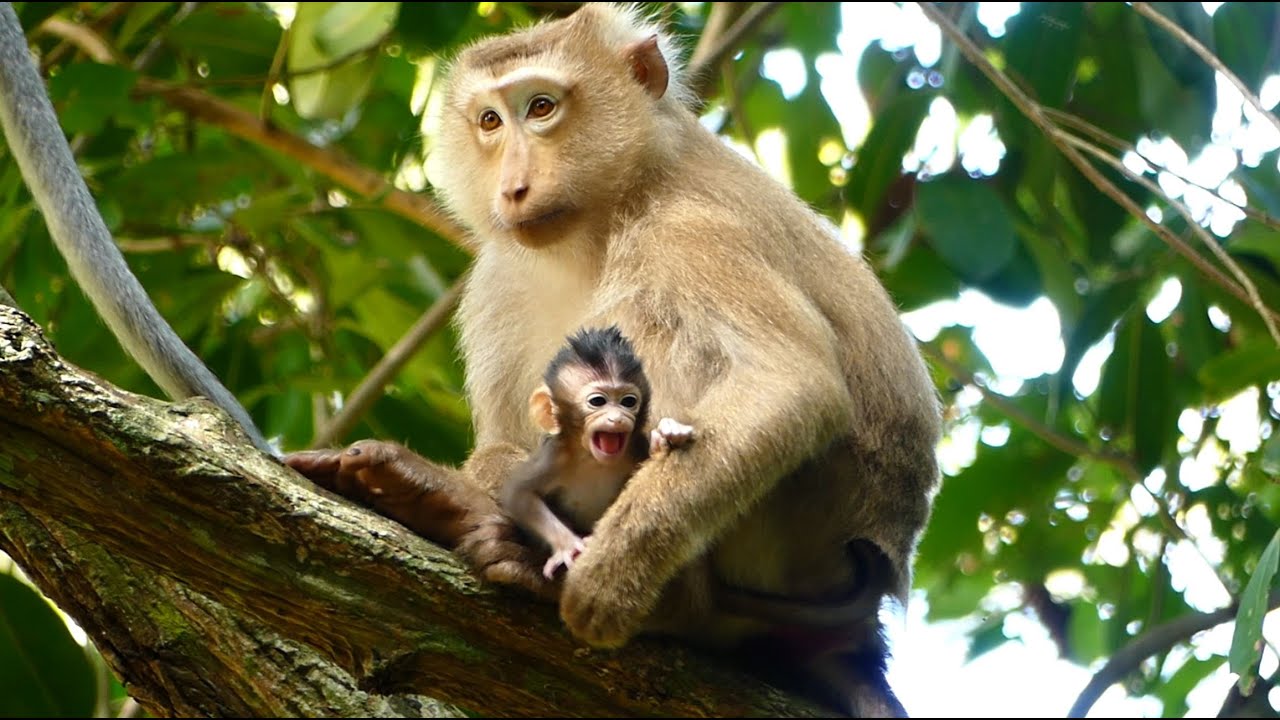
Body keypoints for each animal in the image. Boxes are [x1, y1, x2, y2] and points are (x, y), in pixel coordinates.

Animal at [502, 325, 695, 580]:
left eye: (628, 401)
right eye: (597, 401)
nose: (617, 418)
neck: (594, 461)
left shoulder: (633, 449)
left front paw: (666, 434)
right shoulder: (554, 458)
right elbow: (518, 493)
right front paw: (568, 546)